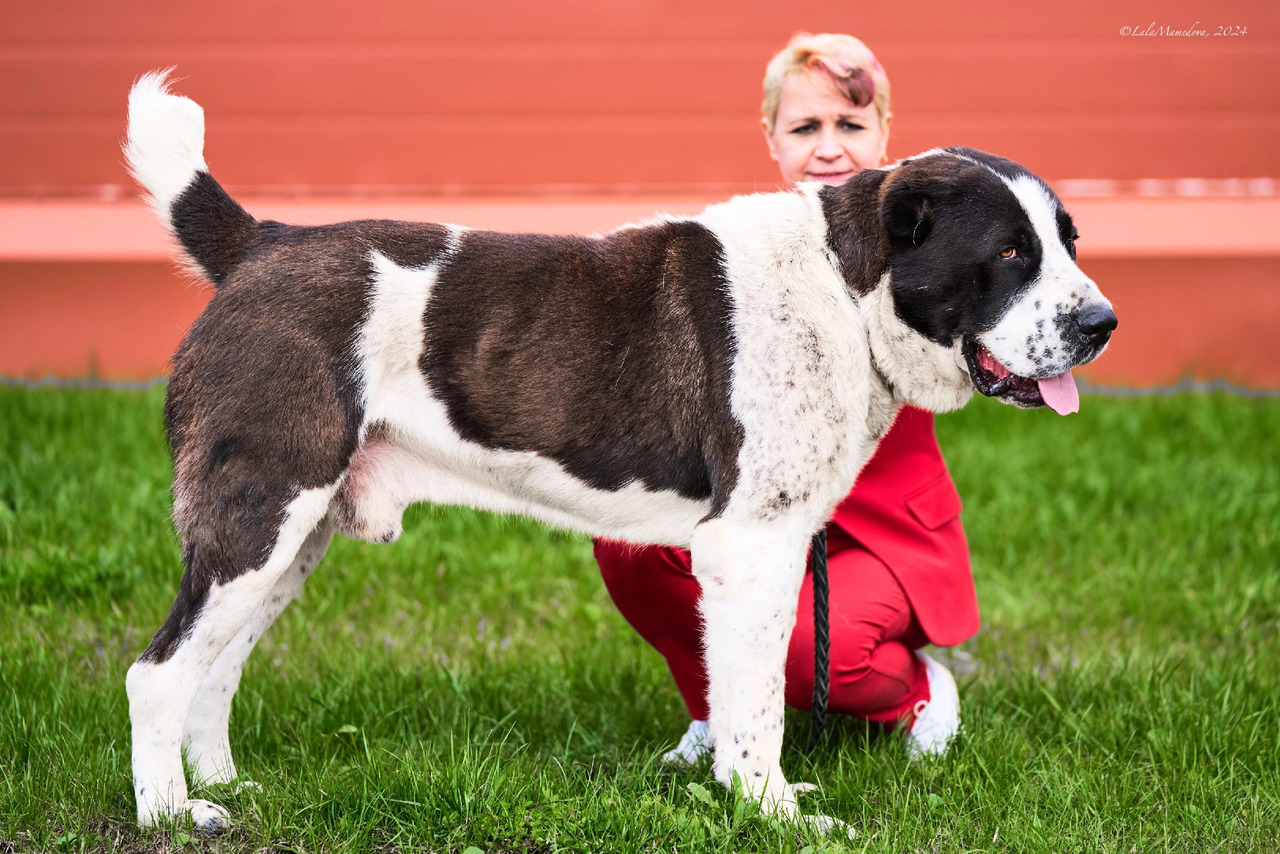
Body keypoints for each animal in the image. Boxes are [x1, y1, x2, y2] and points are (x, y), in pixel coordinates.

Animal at [124, 73, 1116, 834]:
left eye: (1068, 241)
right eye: (1010, 253)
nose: (1103, 323)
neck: (846, 283)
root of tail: (262, 242)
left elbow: (742, 691)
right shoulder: (753, 549)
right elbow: (762, 704)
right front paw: (773, 814)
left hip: (294, 531)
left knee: (216, 665)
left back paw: (223, 783)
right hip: (262, 511)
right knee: (158, 672)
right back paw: (172, 814)